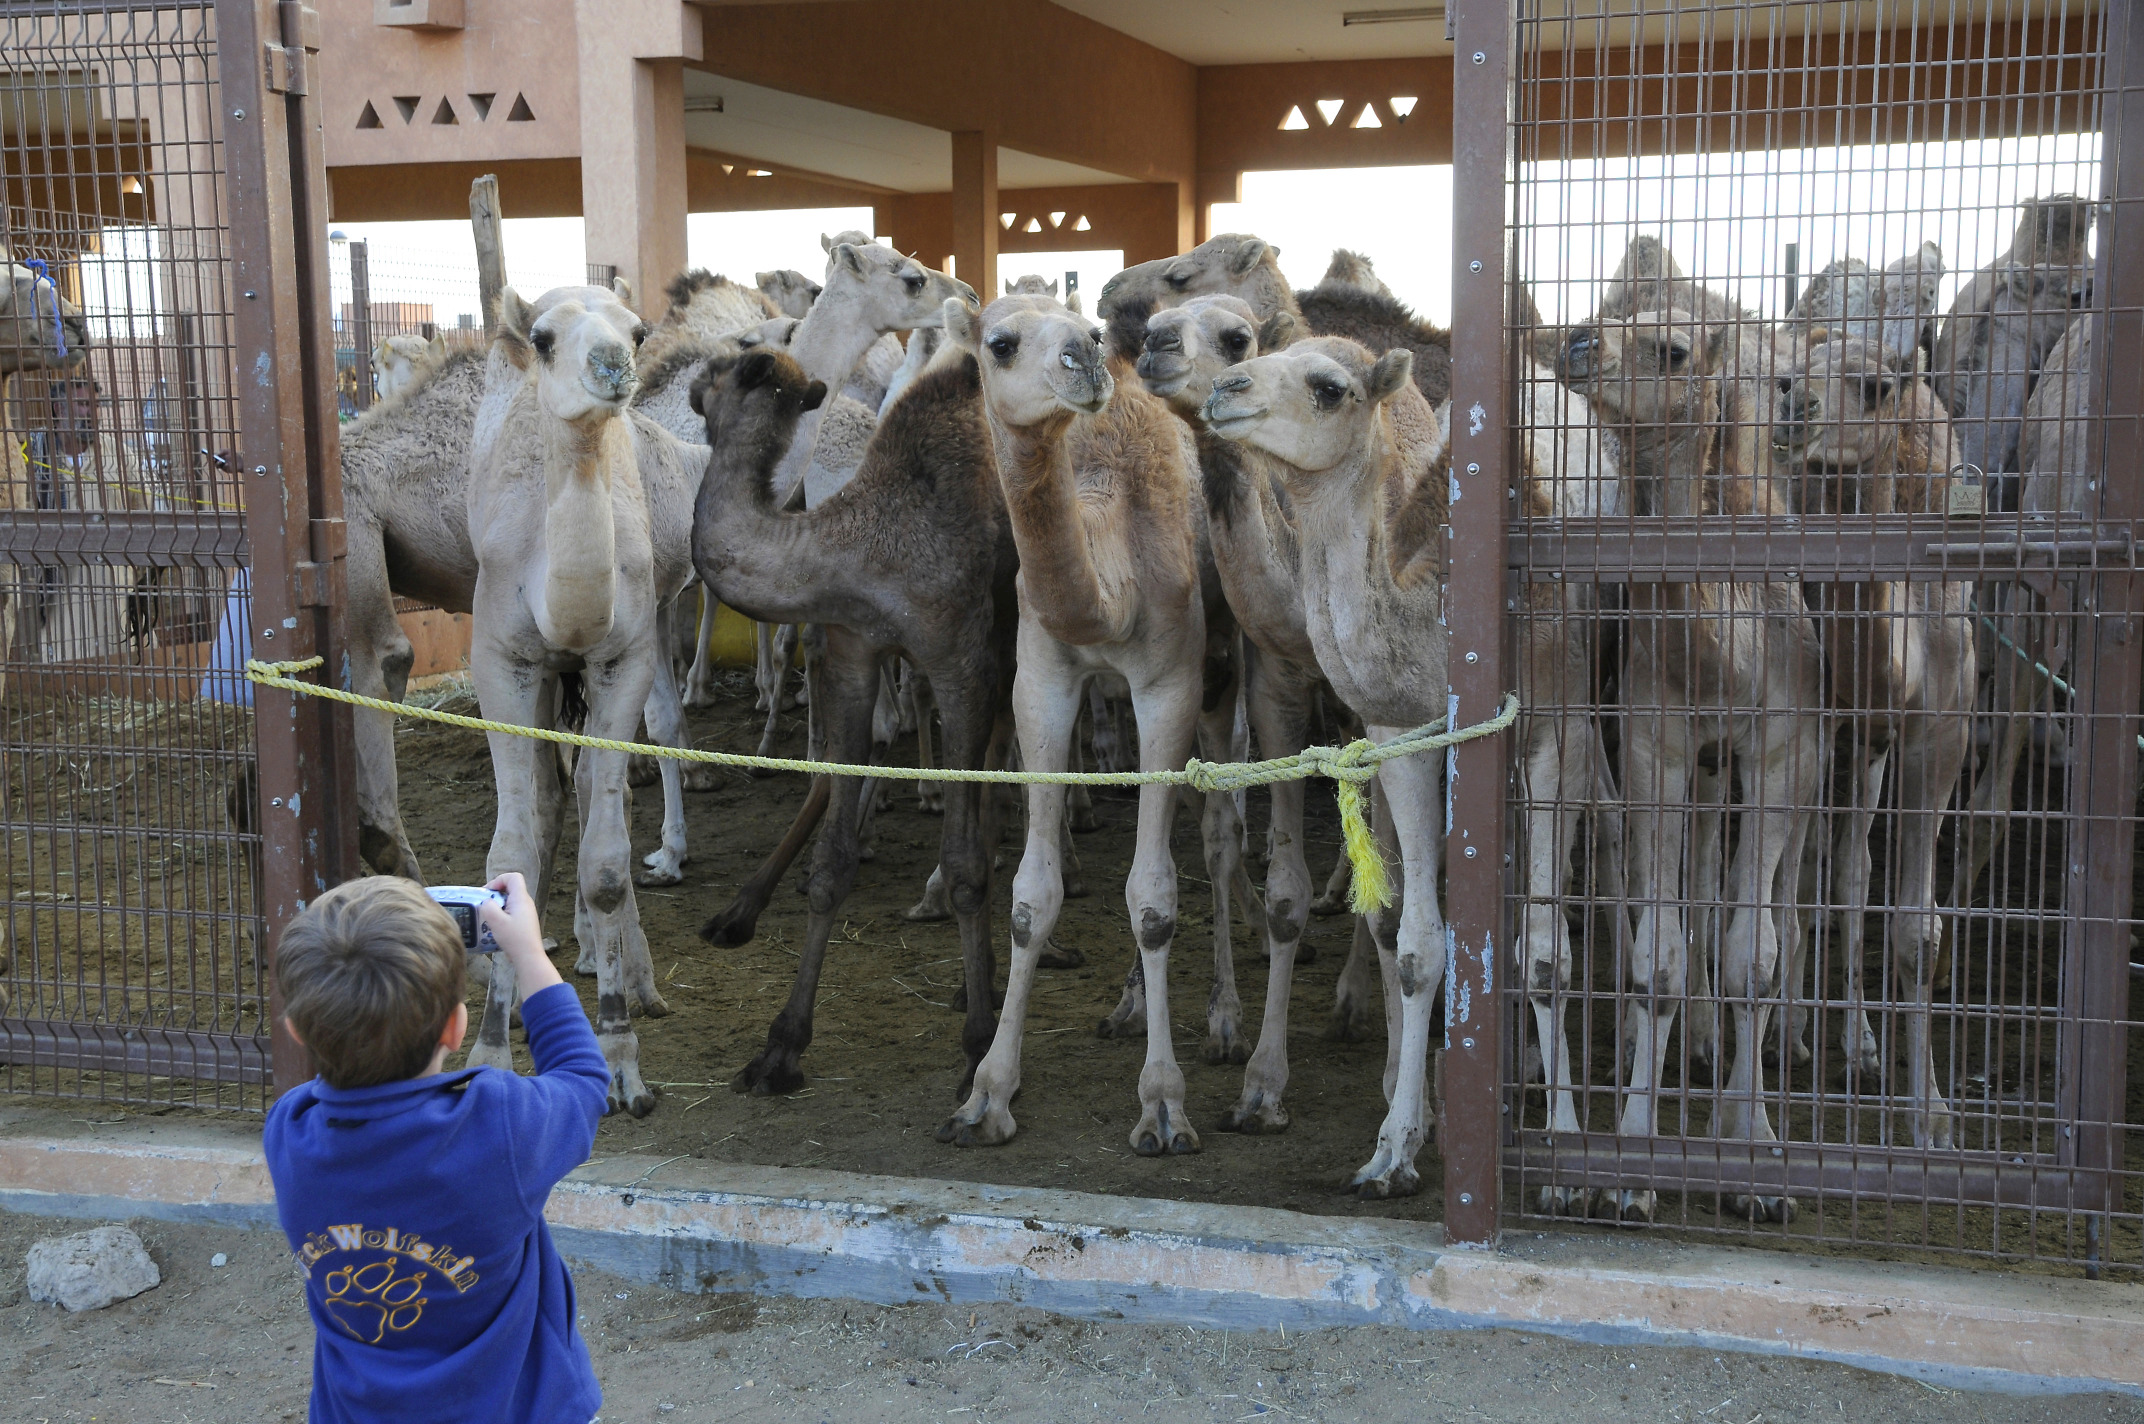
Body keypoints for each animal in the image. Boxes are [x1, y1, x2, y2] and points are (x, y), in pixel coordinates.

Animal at [463, 283, 704, 1118]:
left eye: (638, 331)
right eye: (543, 337)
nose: (611, 366)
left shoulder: (620, 660)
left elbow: (604, 861)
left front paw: (622, 1061)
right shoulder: (500, 663)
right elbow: (512, 855)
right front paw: (491, 1053)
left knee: (598, 800)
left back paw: (627, 970)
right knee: (544, 800)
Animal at [688, 343, 1017, 1096]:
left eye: (725, 369)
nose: (688, 383)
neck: (867, 549)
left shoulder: (962, 660)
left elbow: (963, 862)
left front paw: (978, 1050)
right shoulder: (854, 651)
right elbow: (832, 861)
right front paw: (781, 1047)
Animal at [936, 293, 1260, 1157]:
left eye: (1080, 327)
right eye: (999, 342)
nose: (1084, 358)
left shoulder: (1171, 683)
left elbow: (1153, 896)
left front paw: (1164, 1105)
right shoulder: (1041, 682)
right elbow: (1030, 896)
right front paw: (986, 1094)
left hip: (1224, 669)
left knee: (1217, 833)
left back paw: (1225, 1018)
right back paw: (1129, 1004)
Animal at [1558, 297, 1823, 1224]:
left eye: (1670, 349)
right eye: (1606, 317)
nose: (1574, 342)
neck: (1722, 649)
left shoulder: (1783, 744)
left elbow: (1756, 960)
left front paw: (1756, 1153)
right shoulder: (1653, 740)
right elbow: (1659, 962)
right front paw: (1634, 1166)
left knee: (1765, 905)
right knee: (1686, 877)